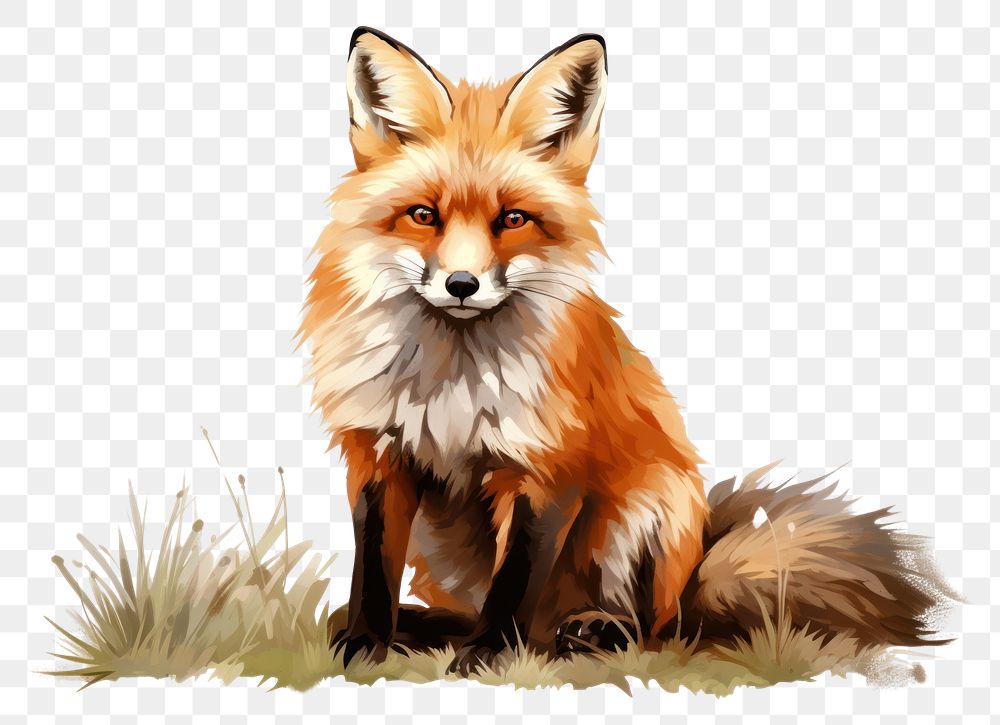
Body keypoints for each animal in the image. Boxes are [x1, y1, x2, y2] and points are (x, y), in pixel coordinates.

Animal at [299, 27, 955, 676]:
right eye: (423, 215)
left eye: (513, 219)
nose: (462, 285)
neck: (451, 382)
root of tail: (692, 582)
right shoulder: (378, 455)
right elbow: (374, 571)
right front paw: (364, 643)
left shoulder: (547, 468)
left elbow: (515, 579)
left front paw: (490, 654)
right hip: (441, 548)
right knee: (486, 612)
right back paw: (425, 627)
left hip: (645, 517)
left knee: (649, 630)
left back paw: (590, 632)